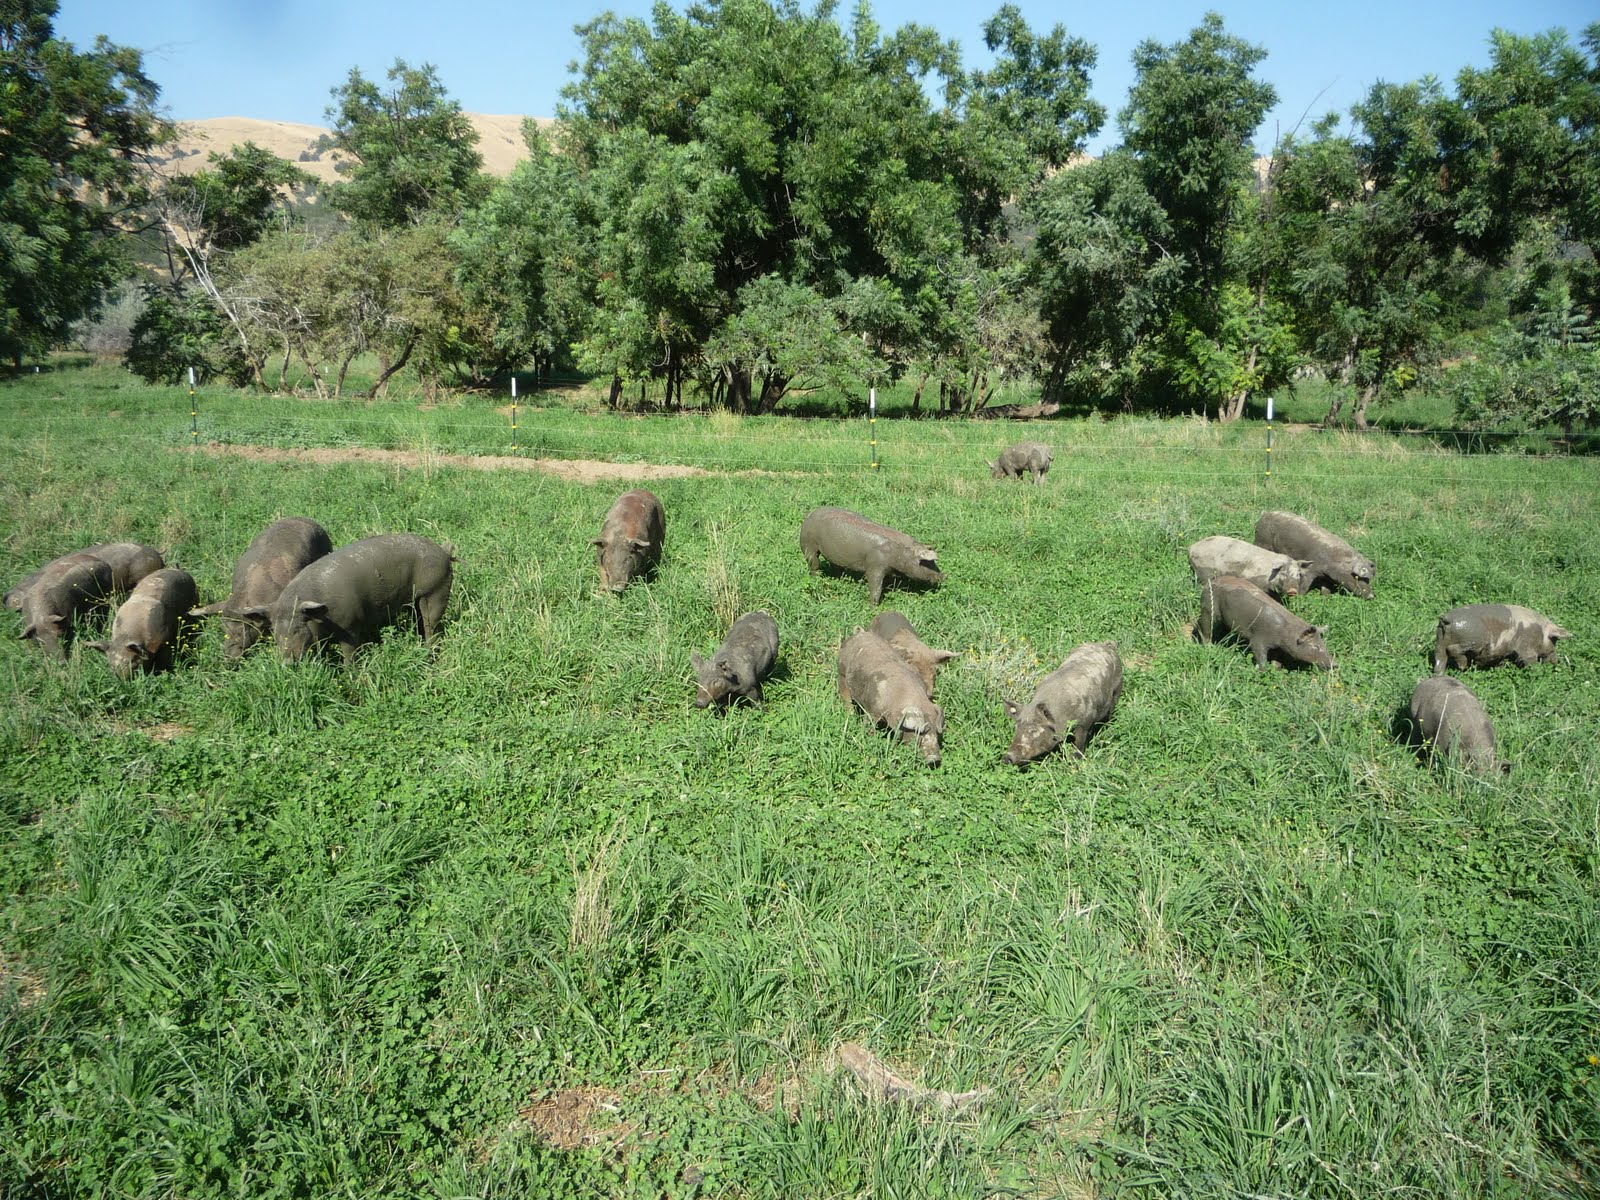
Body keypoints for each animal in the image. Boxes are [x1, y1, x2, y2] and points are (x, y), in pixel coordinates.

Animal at [268, 533, 454, 664]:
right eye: (275, 633)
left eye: (297, 629)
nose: (287, 663)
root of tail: (444, 552)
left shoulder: (350, 625)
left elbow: (350, 652)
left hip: (436, 589)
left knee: (431, 624)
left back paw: (430, 653)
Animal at [800, 507, 943, 605]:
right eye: (927, 562)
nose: (943, 576)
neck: (900, 554)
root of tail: (809, 515)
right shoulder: (875, 566)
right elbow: (875, 587)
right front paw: (873, 607)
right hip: (808, 545)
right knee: (814, 565)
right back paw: (816, 579)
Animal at [837, 629, 945, 766]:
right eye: (919, 732)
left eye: (936, 731)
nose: (934, 759)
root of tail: (859, 634)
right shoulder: (872, 710)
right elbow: (869, 725)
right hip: (841, 673)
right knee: (846, 697)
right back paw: (849, 715)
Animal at [1198, 575, 1335, 671]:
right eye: (1315, 646)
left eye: (1323, 644)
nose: (1335, 664)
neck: (1284, 632)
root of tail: (1212, 581)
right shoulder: (1257, 639)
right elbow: (1260, 655)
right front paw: (1262, 671)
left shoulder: (1278, 647)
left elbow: (1277, 660)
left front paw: (1276, 669)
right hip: (1207, 609)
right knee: (1205, 628)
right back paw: (1208, 647)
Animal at [1432, 605, 1571, 675]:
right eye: (1554, 640)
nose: (1556, 661)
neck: (1541, 632)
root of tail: (1447, 619)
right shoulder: (1526, 646)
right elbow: (1529, 660)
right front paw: (1537, 671)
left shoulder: (1502, 653)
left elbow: (1500, 662)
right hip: (1475, 641)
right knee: (1452, 649)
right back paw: (1462, 666)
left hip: (1439, 639)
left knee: (1440, 657)